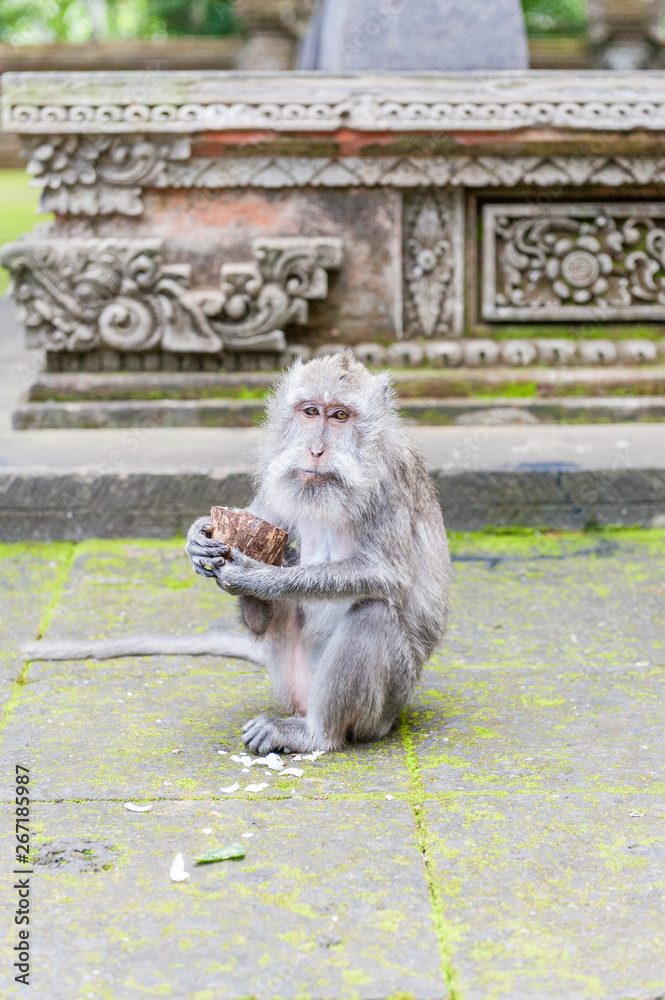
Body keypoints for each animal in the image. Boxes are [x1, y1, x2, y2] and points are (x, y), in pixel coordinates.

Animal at [185, 349, 450, 754]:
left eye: (340, 415)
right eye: (311, 411)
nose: (315, 450)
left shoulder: (390, 476)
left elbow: (388, 574)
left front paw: (259, 577)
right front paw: (198, 537)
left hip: (384, 706)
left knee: (372, 613)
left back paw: (313, 734)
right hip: (290, 681)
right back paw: (255, 610)